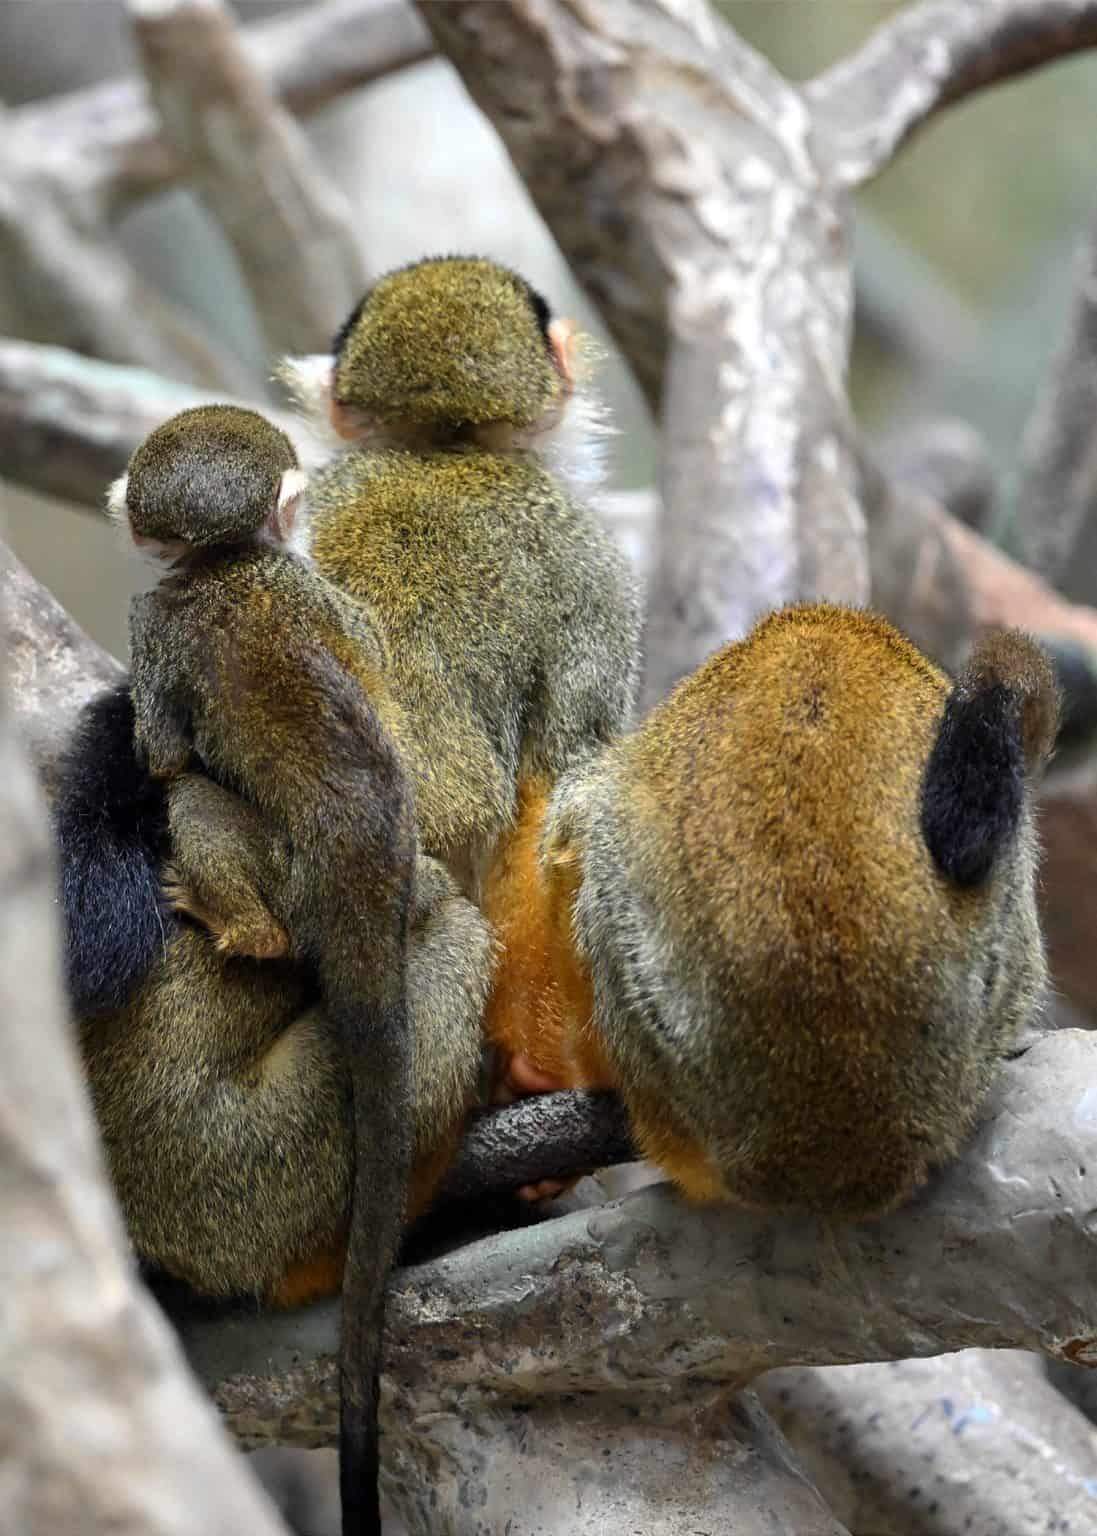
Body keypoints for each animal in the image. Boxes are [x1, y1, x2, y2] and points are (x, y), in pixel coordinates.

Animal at [110, 402, 428, 1536]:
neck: (229, 567)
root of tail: (355, 864)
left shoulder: (154, 618)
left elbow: (163, 755)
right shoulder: (315, 593)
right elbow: (380, 681)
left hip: (287, 885)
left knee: (195, 796)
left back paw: (238, 926)